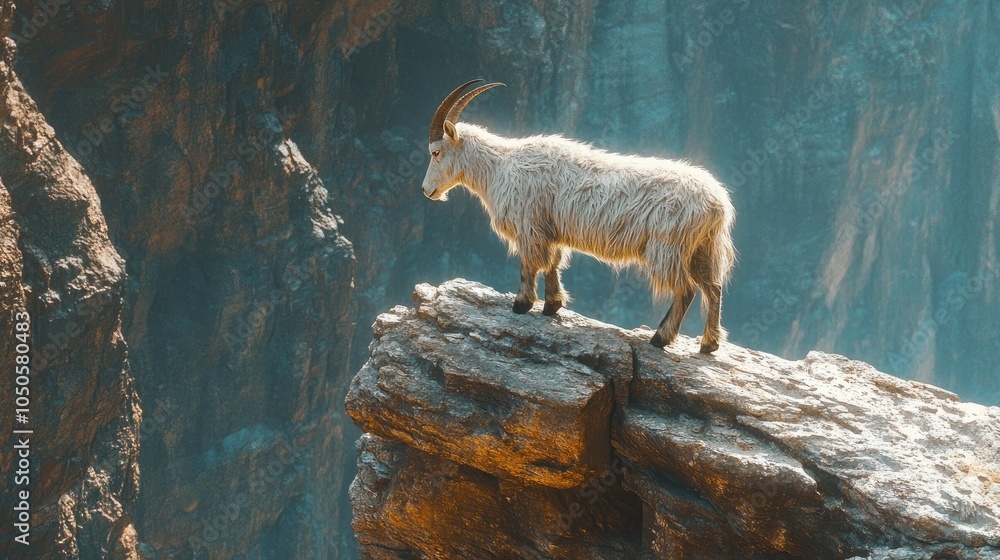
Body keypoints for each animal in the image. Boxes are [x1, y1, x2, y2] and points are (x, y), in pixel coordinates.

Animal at [421, 79, 736, 353]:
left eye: (436, 152)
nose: (426, 190)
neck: (500, 167)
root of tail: (718, 204)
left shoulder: (529, 225)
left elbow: (530, 264)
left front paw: (522, 304)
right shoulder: (549, 229)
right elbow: (552, 263)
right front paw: (552, 305)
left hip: (668, 246)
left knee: (687, 290)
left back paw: (660, 338)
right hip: (702, 249)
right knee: (714, 289)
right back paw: (709, 344)